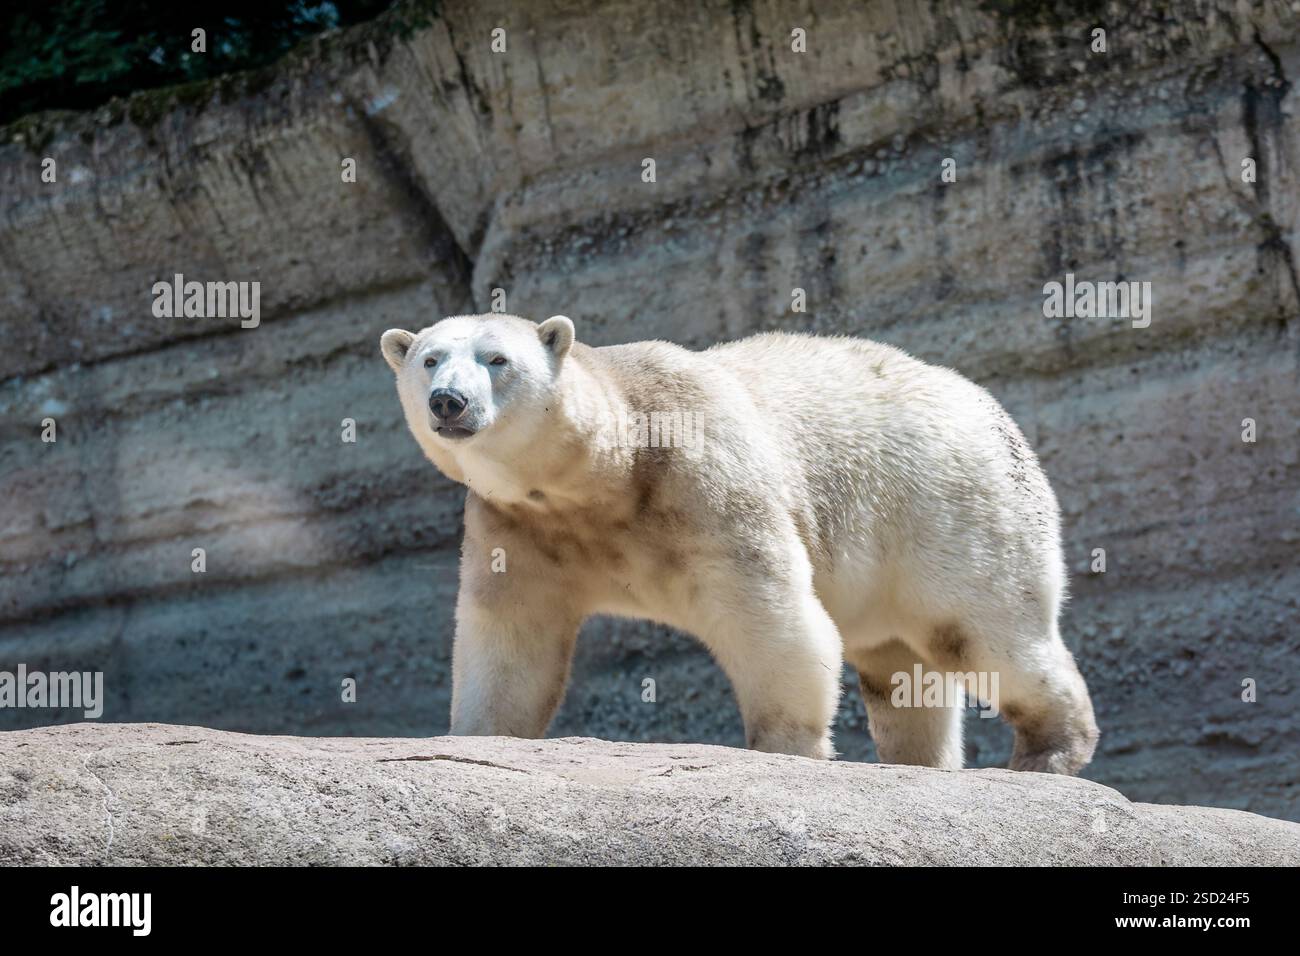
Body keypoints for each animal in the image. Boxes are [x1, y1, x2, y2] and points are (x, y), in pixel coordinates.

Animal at [381, 314, 1099, 774]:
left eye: (497, 360)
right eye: (429, 359)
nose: (448, 402)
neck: (608, 471)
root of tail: (991, 408)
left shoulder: (704, 477)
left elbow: (772, 614)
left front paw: (784, 748)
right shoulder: (519, 528)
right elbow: (511, 637)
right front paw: (480, 739)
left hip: (952, 505)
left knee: (982, 632)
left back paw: (1048, 752)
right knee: (897, 669)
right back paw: (919, 763)